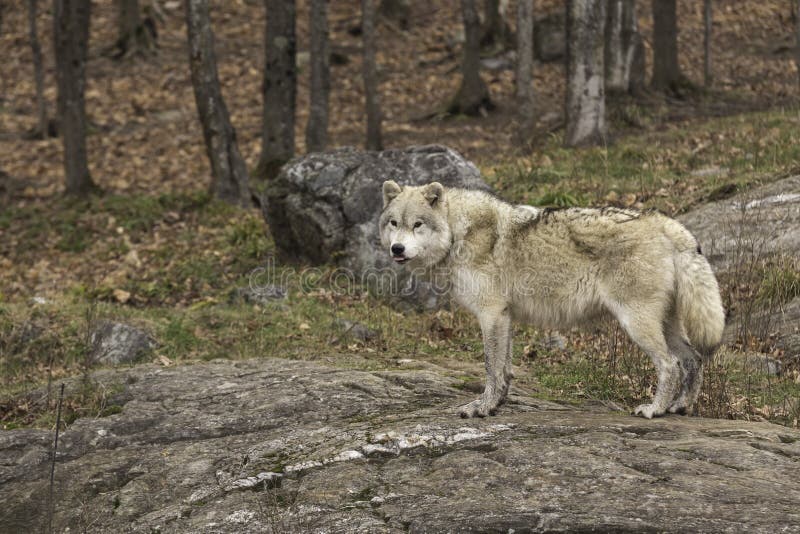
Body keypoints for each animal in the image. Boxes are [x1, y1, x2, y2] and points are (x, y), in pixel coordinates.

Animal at [379, 180, 725, 419]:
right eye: (394, 223)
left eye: (417, 224)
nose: (397, 249)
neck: (457, 233)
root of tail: (665, 222)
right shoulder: (505, 316)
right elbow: (505, 369)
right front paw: (498, 404)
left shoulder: (491, 314)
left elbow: (491, 367)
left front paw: (482, 407)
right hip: (665, 324)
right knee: (693, 358)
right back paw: (680, 407)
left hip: (636, 323)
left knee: (670, 364)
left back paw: (654, 409)